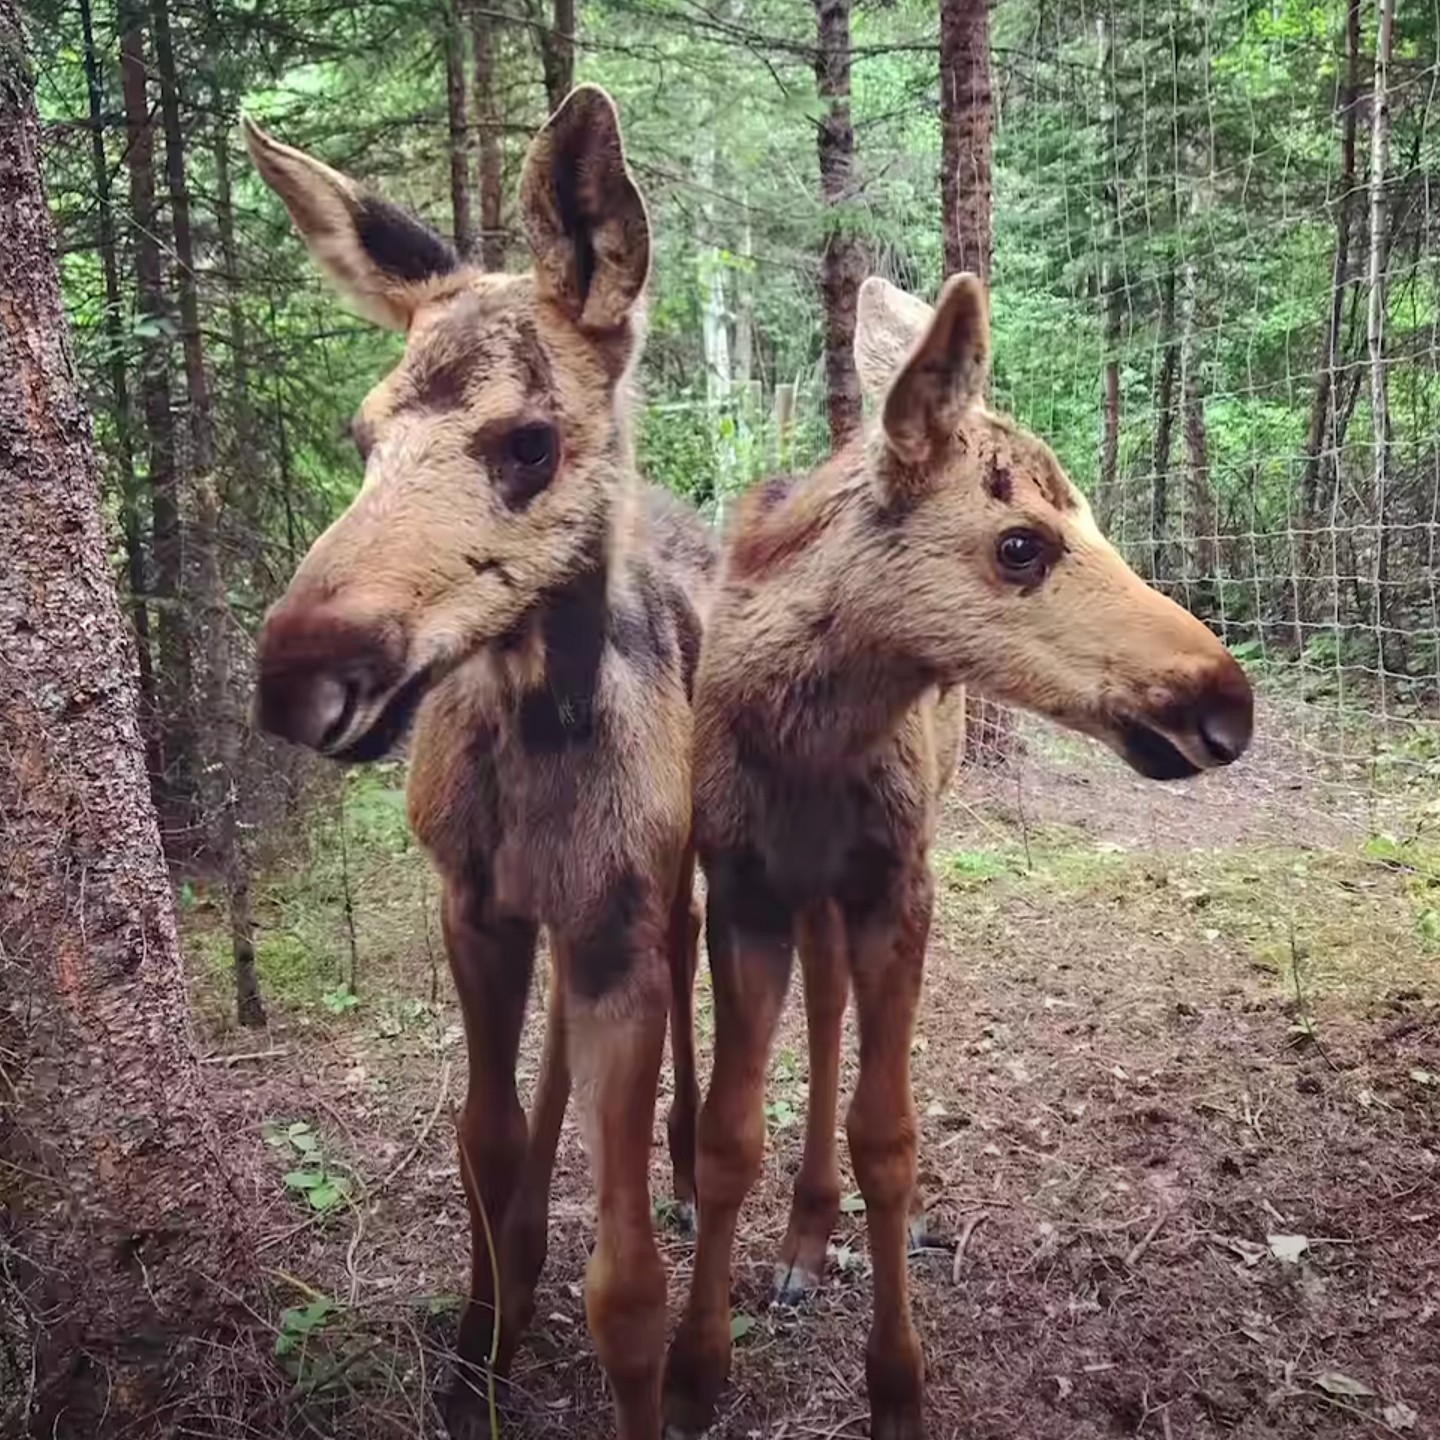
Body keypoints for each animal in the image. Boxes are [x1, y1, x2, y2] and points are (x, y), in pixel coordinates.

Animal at [243, 87, 715, 1439]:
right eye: (360, 434)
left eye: (529, 444)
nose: (298, 673)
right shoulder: (477, 905)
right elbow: (485, 1142)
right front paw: (479, 1349)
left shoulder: (620, 918)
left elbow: (629, 1278)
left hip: (684, 871)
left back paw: (688, 1156)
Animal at [662, 272, 1255, 1440]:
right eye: (1020, 543)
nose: (1226, 703)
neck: (806, 748)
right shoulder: (740, 886)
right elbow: (724, 1136)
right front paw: (694, 1371)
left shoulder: (904, 881)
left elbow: (888, 1138)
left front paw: (897, 1384)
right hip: (808, 895)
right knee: (825, 1009)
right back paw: (802, 1240)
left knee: (837, 1016)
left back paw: (814, 1233)